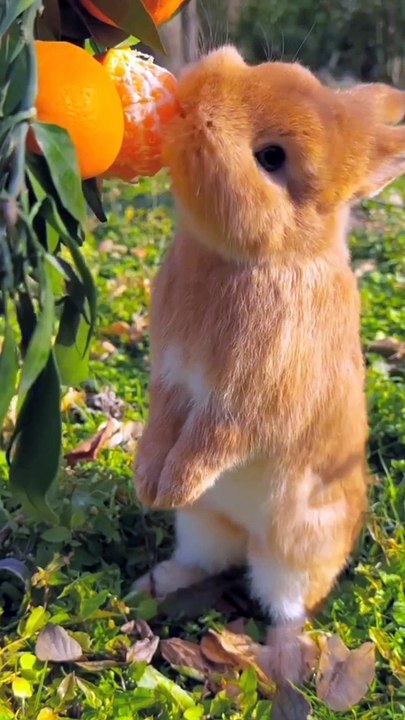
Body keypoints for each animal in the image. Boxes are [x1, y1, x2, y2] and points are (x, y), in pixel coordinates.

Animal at [133, 46, 405, 683]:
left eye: (272, 158)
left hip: (298, 553)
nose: (196, 93)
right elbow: (164, 425)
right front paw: (148, 484)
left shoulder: (247, 403)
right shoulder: (172, 381)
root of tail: (246, 536)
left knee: (288, 605)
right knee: (204, 561)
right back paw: (147, 586)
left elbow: (213, 439)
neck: (253, 258)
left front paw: (169, 486)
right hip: (204, 525)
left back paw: (280, 661)